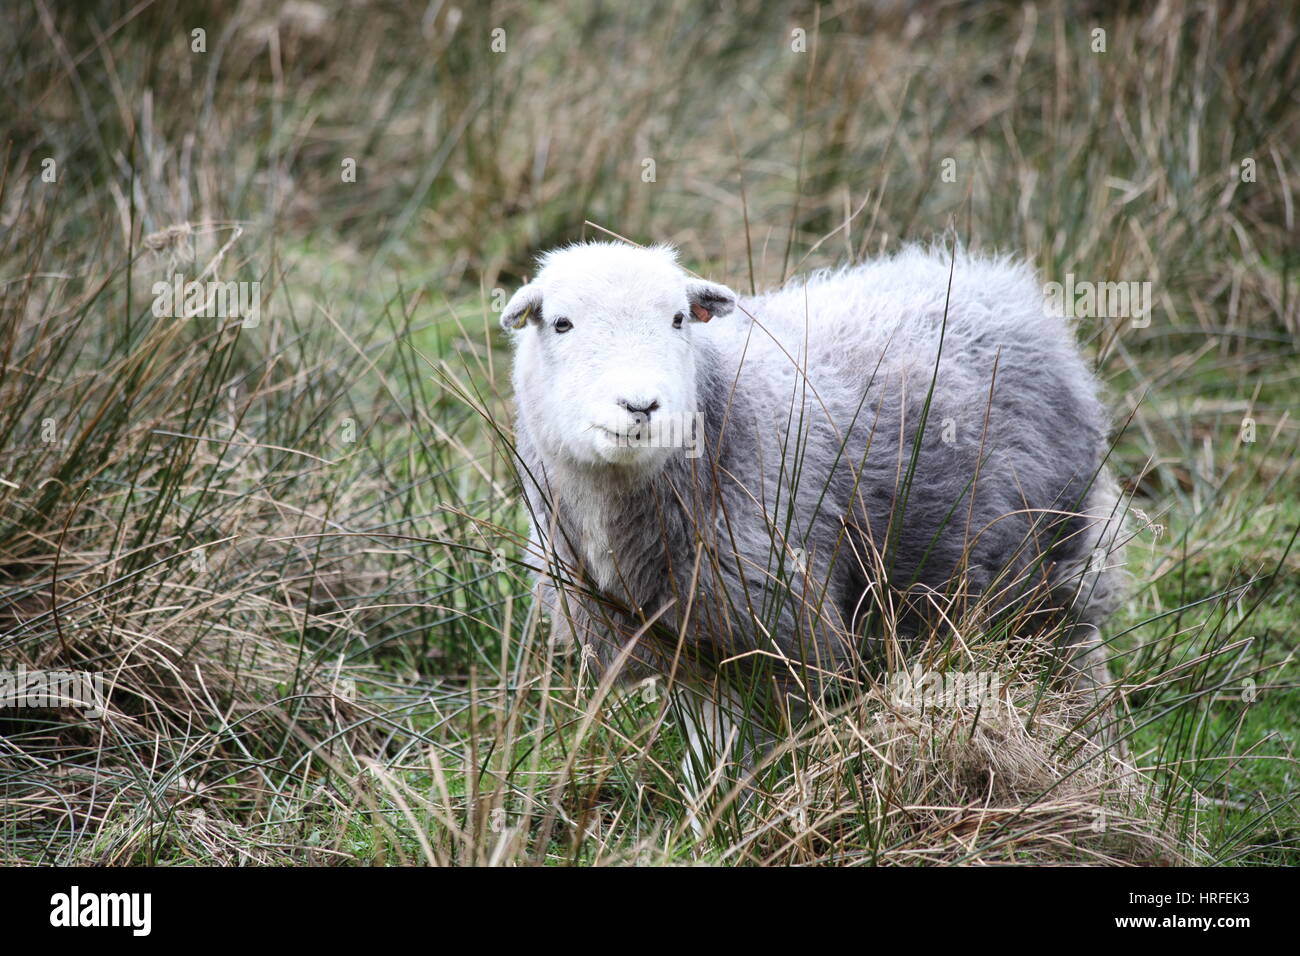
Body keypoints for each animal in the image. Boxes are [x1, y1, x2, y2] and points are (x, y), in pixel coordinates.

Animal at [499, 240, 1126, 785]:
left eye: (679, 319)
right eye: (561, 323)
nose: (640, 406)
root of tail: (1002, 280)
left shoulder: (785, 625)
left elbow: (759, 747)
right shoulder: (683, 641)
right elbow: (709, 746)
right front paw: (706, 808)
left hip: (1057, 542)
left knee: (1077, 654)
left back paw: (1099, 758)